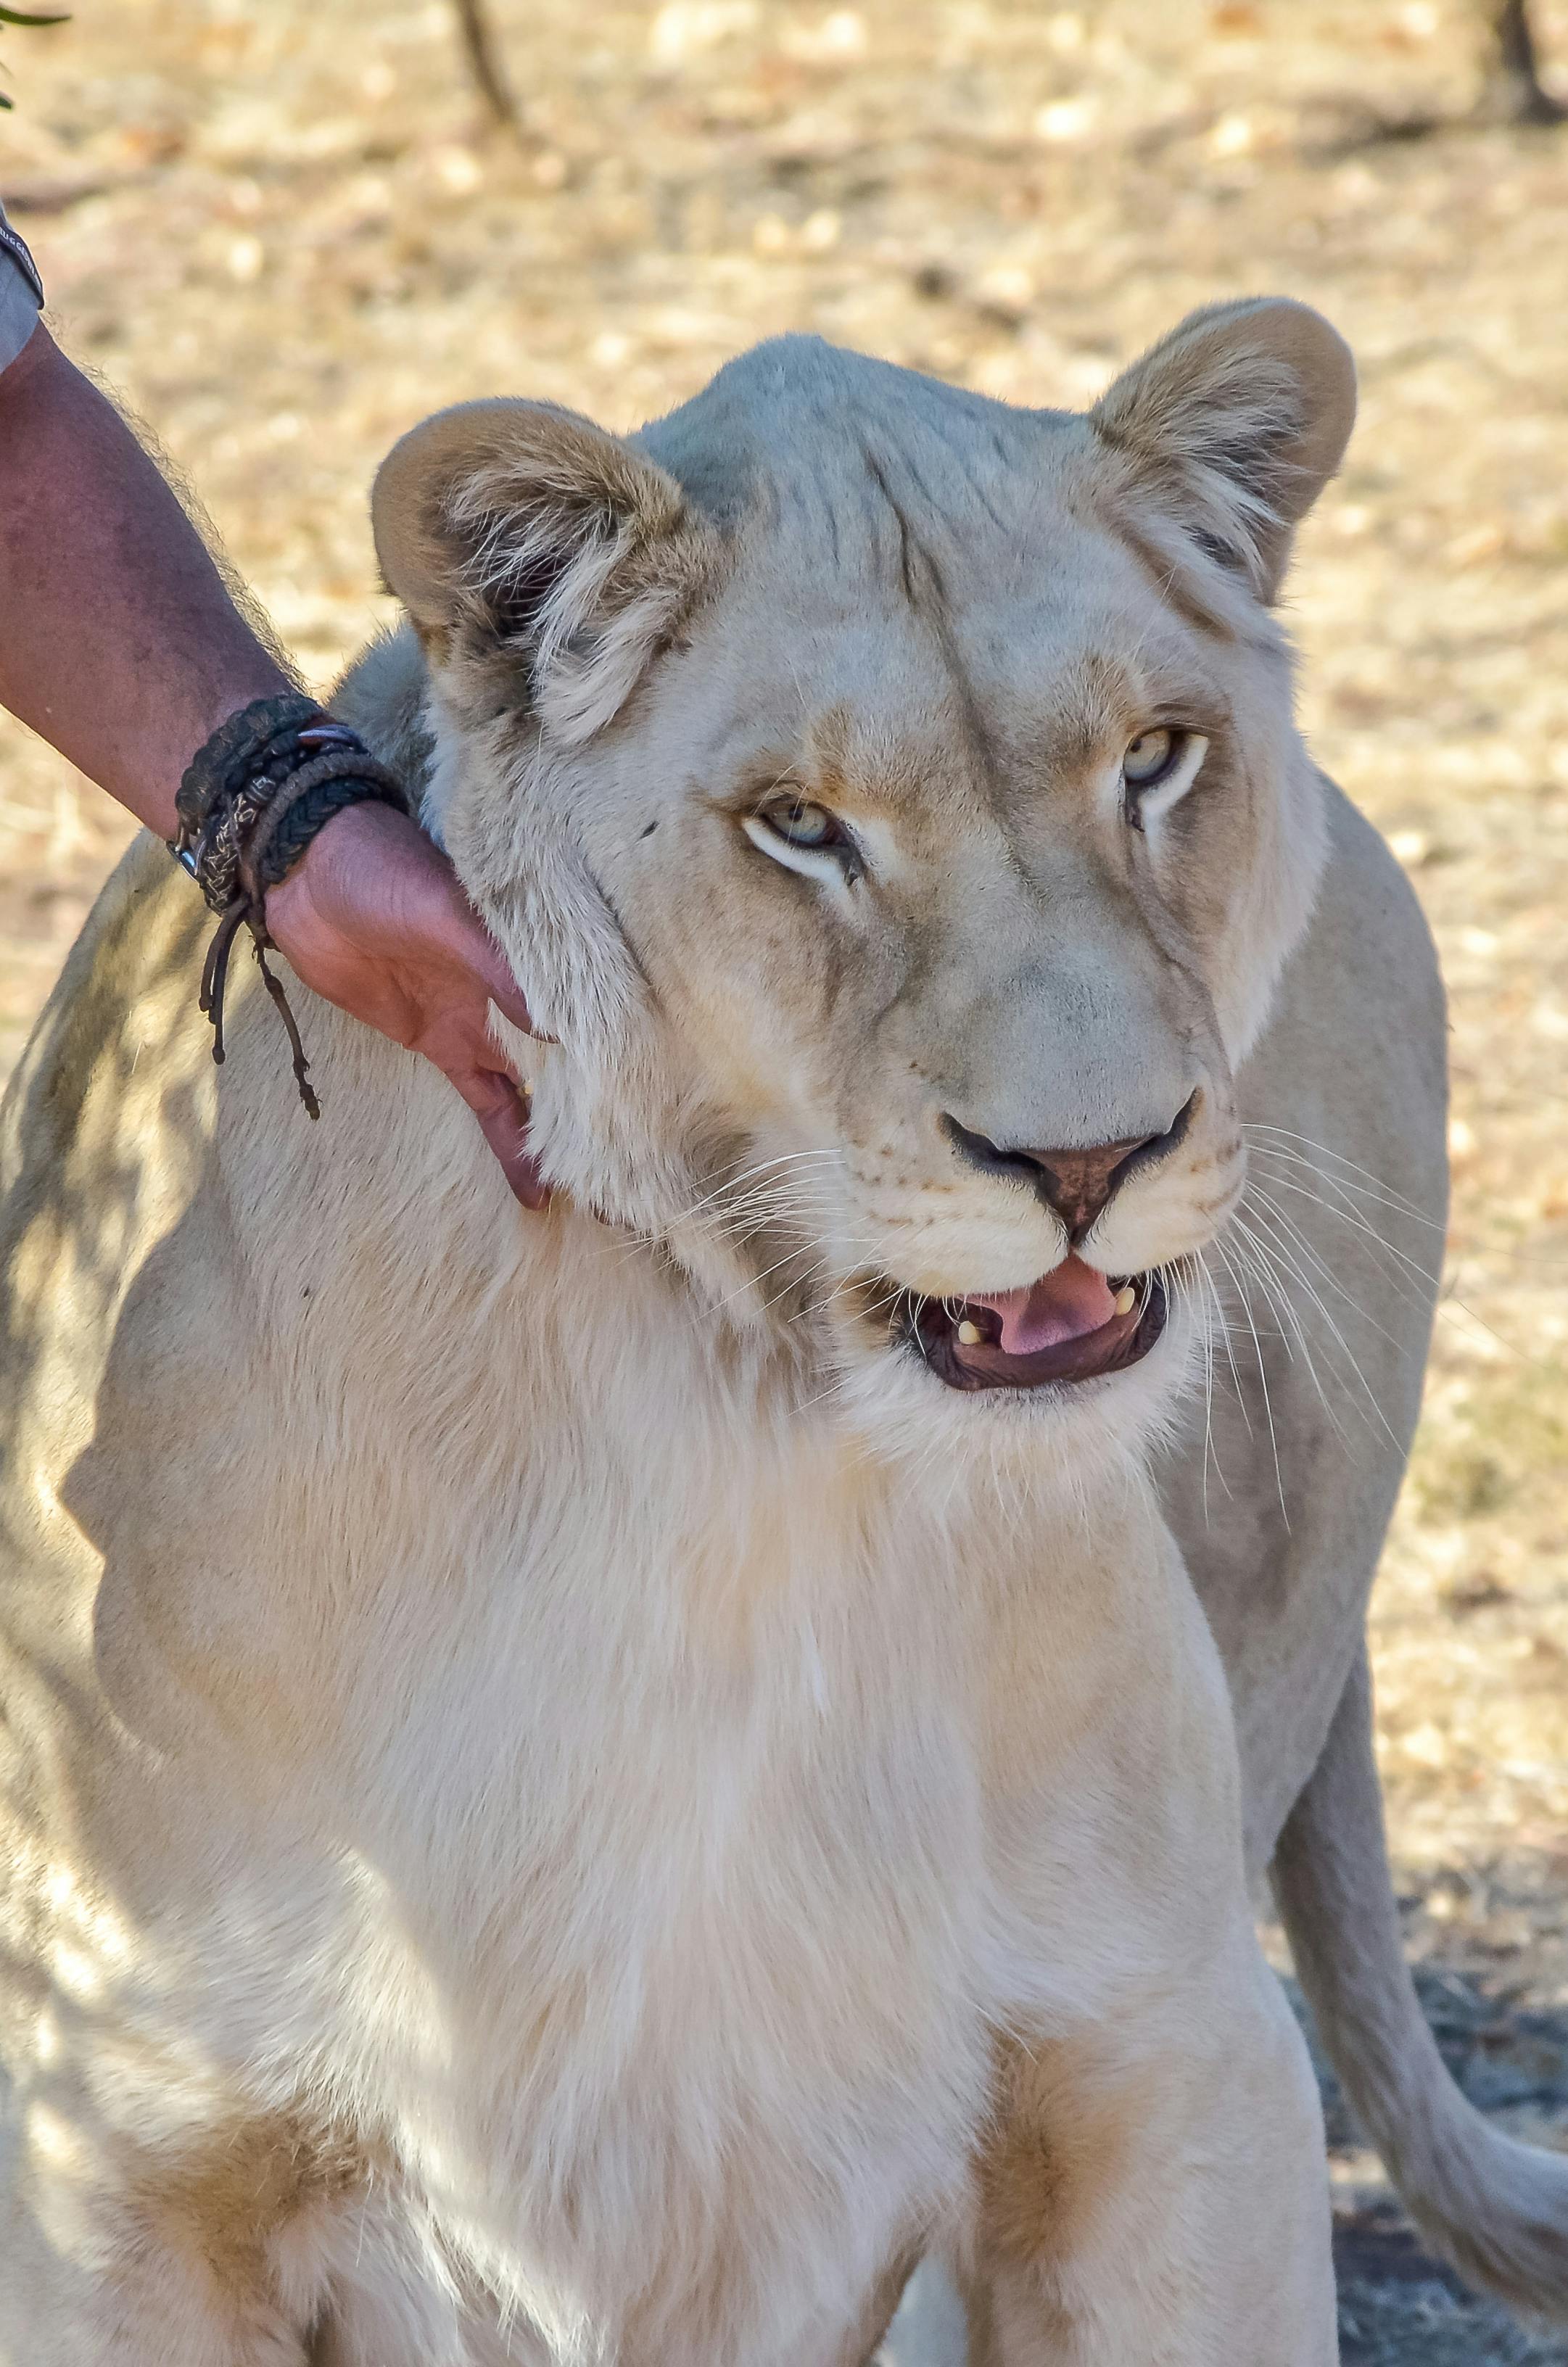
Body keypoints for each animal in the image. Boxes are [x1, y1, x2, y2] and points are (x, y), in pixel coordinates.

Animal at [0, 300, 1561, 2366]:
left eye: (1153, 760)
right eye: (801, 830)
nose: (1090, 1157)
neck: (728, 1453)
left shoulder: (1166, 2056)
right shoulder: (110, 2148)